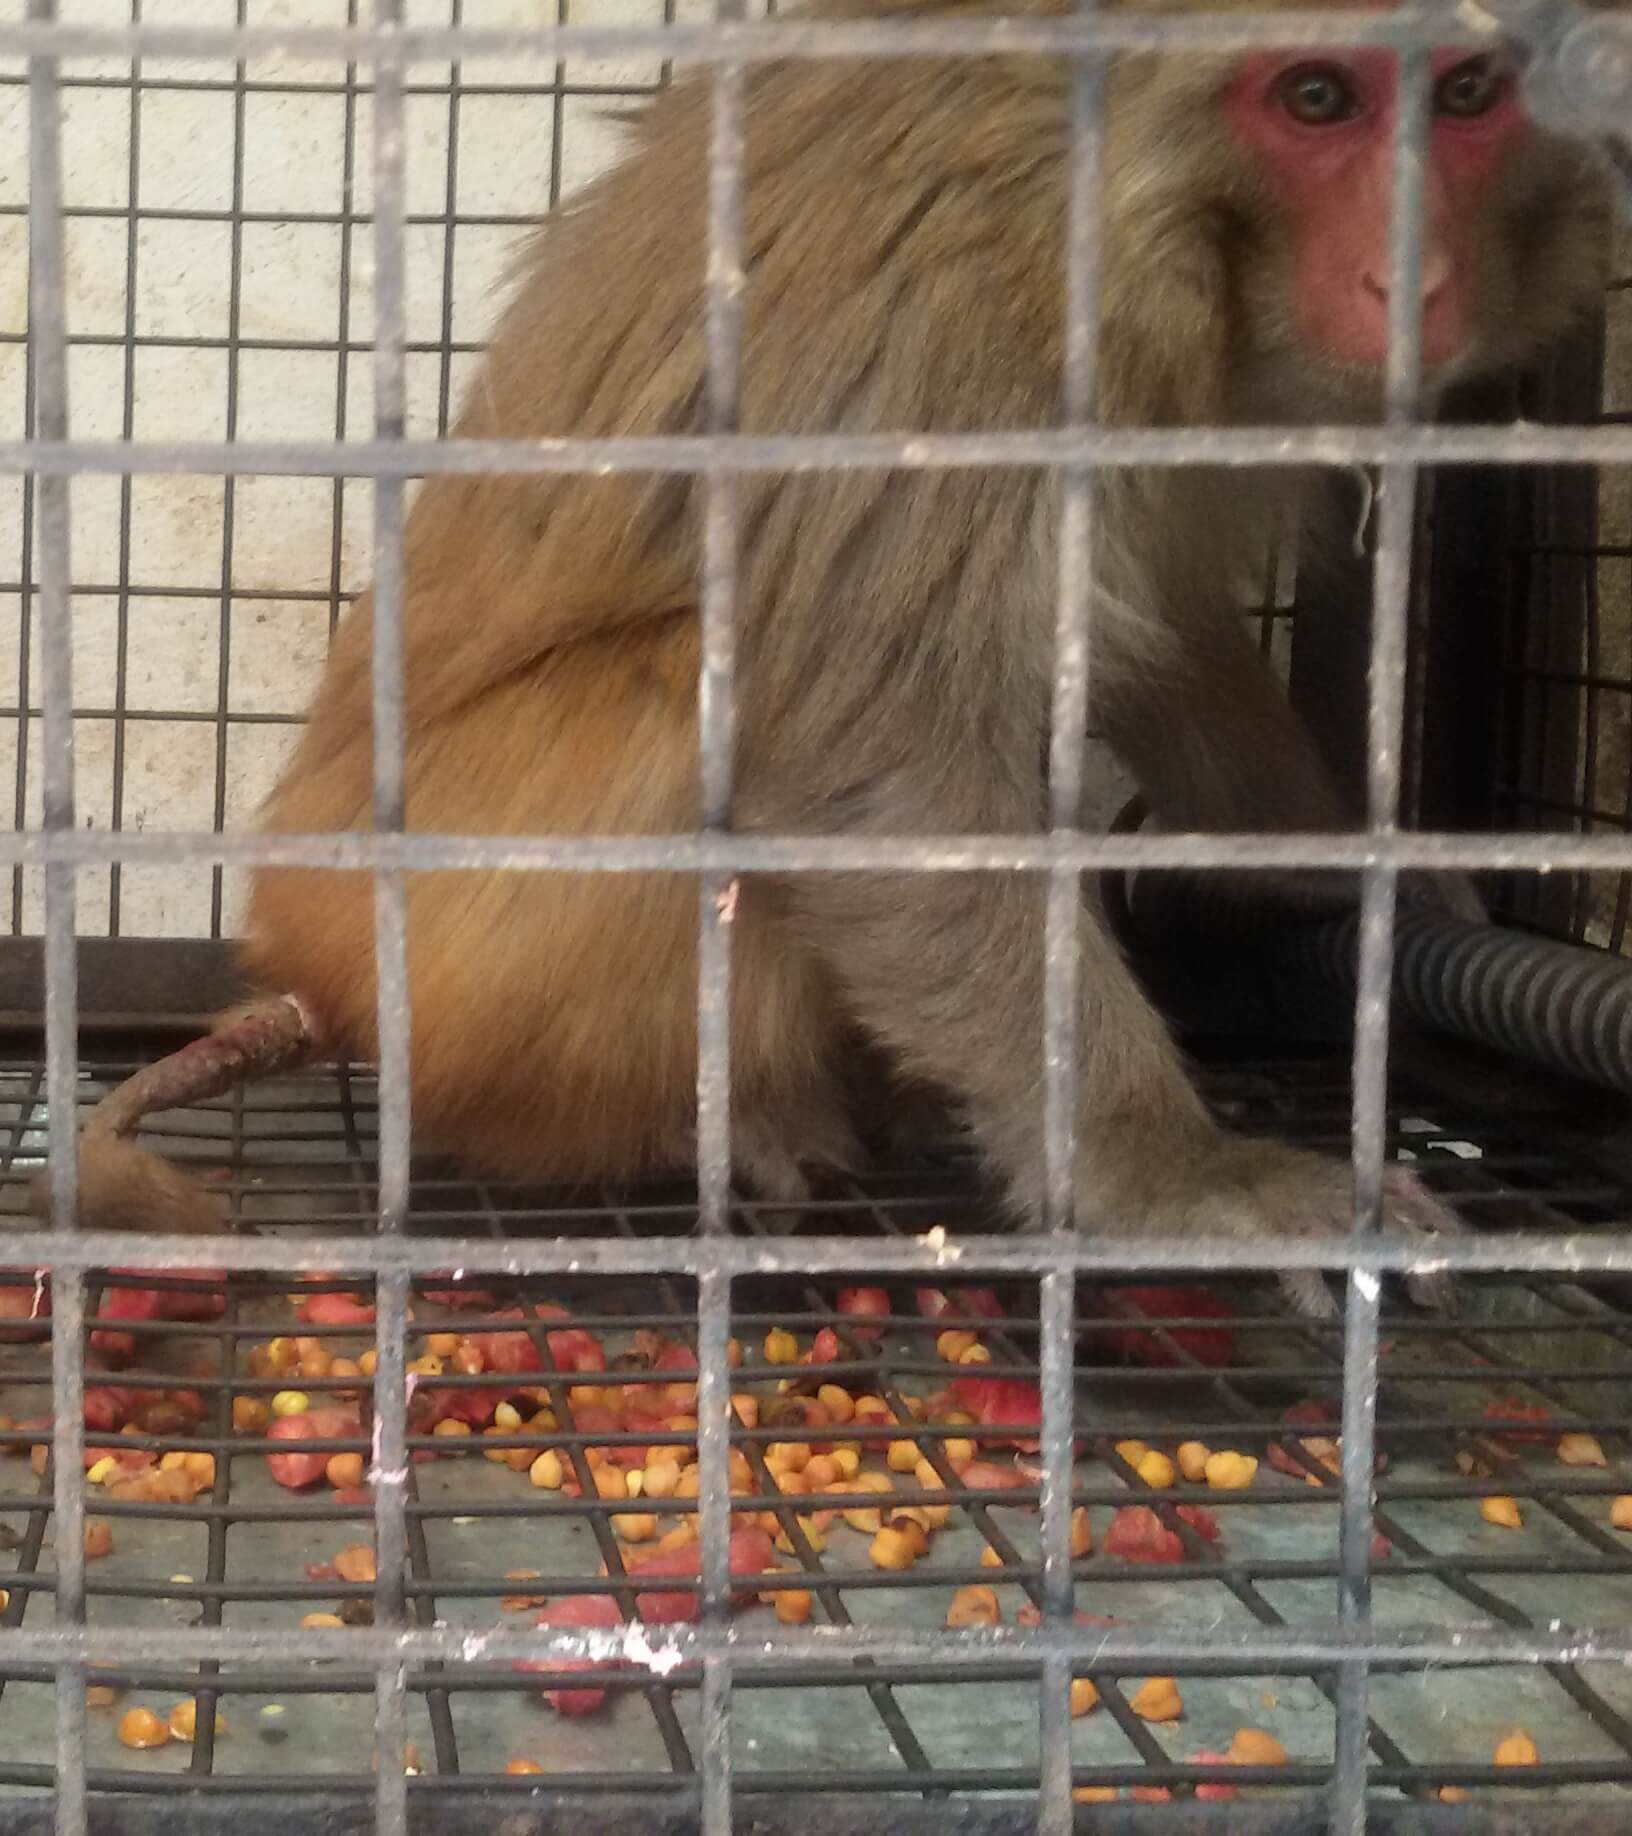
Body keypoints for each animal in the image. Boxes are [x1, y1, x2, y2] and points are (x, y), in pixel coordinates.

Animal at [40, 0, 1613, 1316]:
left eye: (1468, 94)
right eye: (1317, 96)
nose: (1417, 271)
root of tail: (307, 960)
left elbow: (1158, 631)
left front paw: (1336, 867)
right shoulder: (959, 319)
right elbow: (886, 767)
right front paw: (1174, 1177)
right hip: (445, 943)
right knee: (696, 686)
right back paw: (721, 1119)